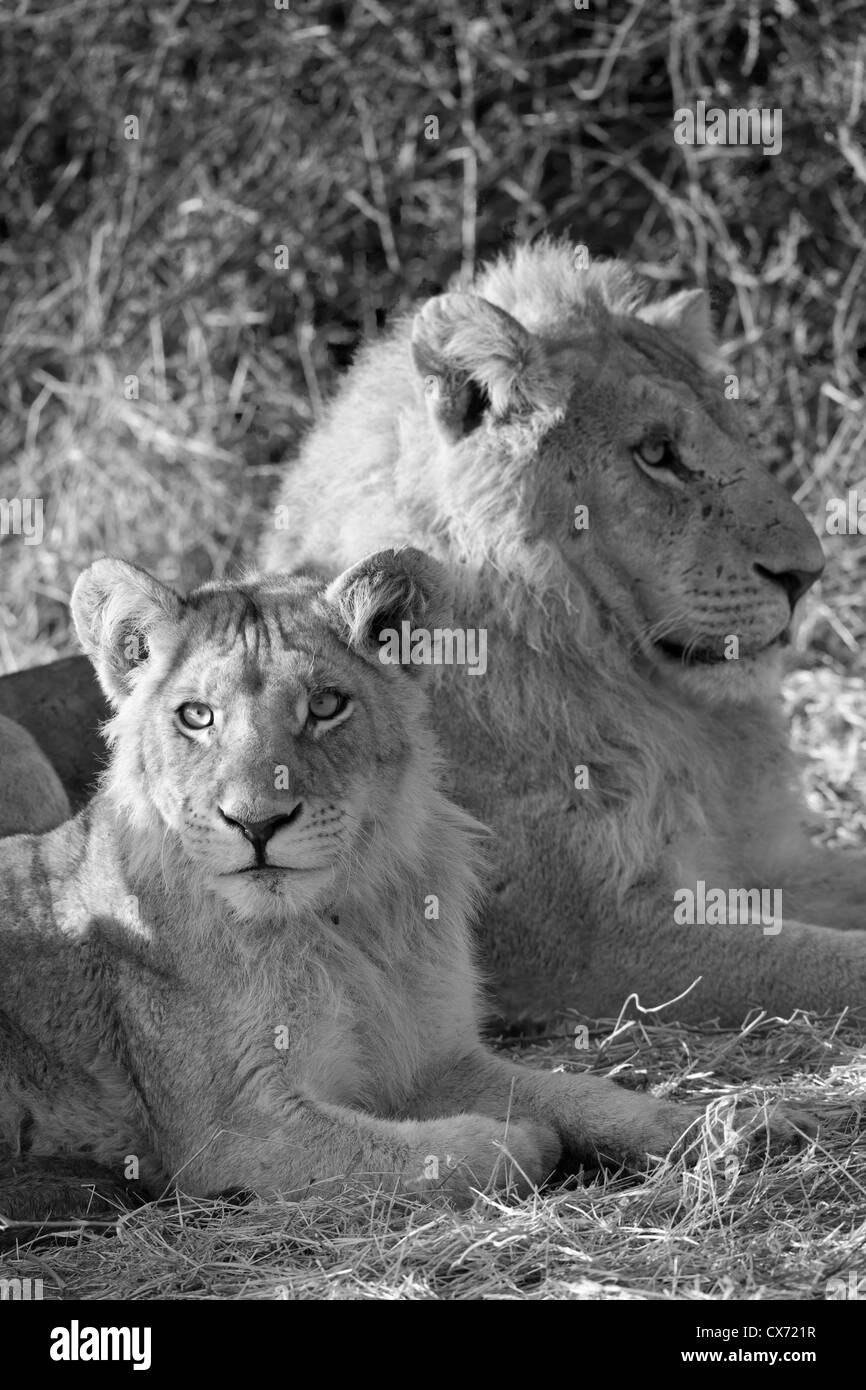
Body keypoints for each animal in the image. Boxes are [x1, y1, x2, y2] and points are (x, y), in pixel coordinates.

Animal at [8, 545, 795, 1220]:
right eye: (195, 717)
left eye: (326, 705)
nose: (258, 822)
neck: (343, 923)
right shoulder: (231, 1133)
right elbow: (434, 1150)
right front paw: (529, 1143)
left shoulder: (430, 1060)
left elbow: (586, 1092)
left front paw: (735, 1125)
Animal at [261, 237, 866, 1027]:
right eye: (656, 453)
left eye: (742, 438)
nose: (807, 574)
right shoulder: (586, 934)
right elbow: (824, 963)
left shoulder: (754, 860)